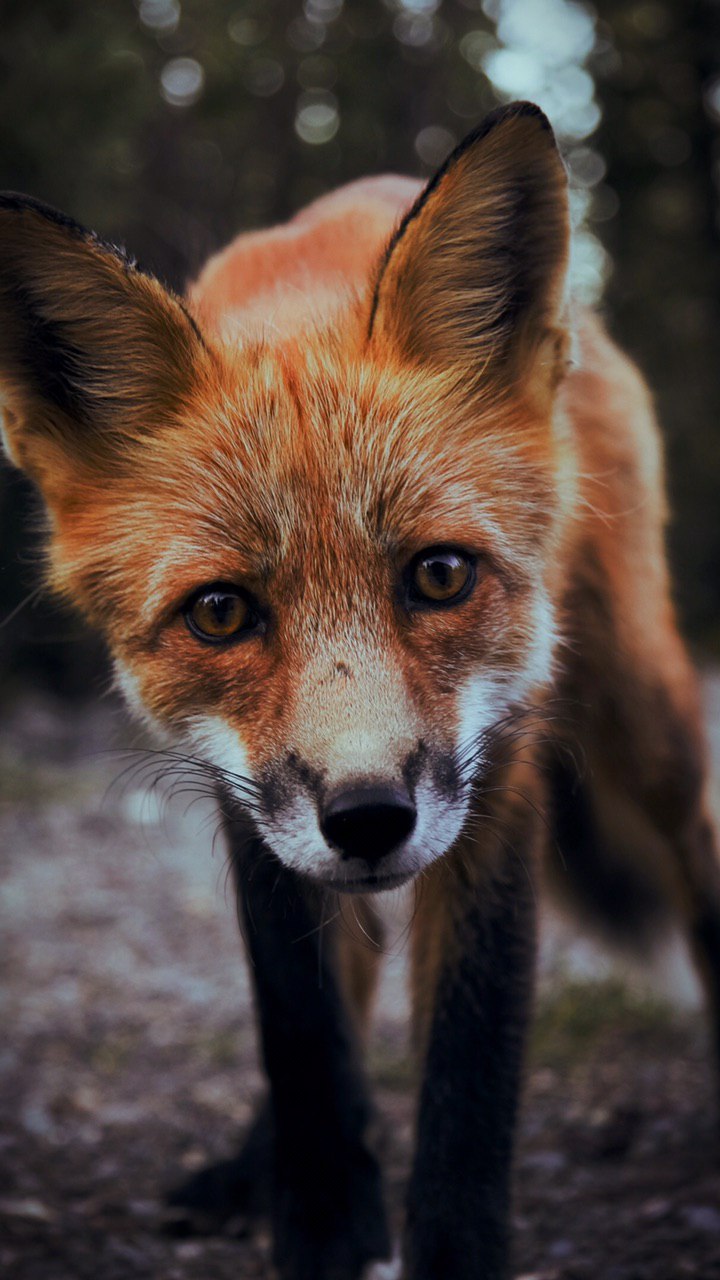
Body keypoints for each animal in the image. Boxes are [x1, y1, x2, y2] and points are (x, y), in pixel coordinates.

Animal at [2, 101, 720, 1280]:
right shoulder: (247, 794)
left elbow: (472, 1062)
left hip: (641, 708)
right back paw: (253, 1163)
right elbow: (301, 1027)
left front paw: (452, 1248)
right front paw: (325, 1224)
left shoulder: (498, 770)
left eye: (440, 575)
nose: (371, 817)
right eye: (220, 612)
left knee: (693, 862)